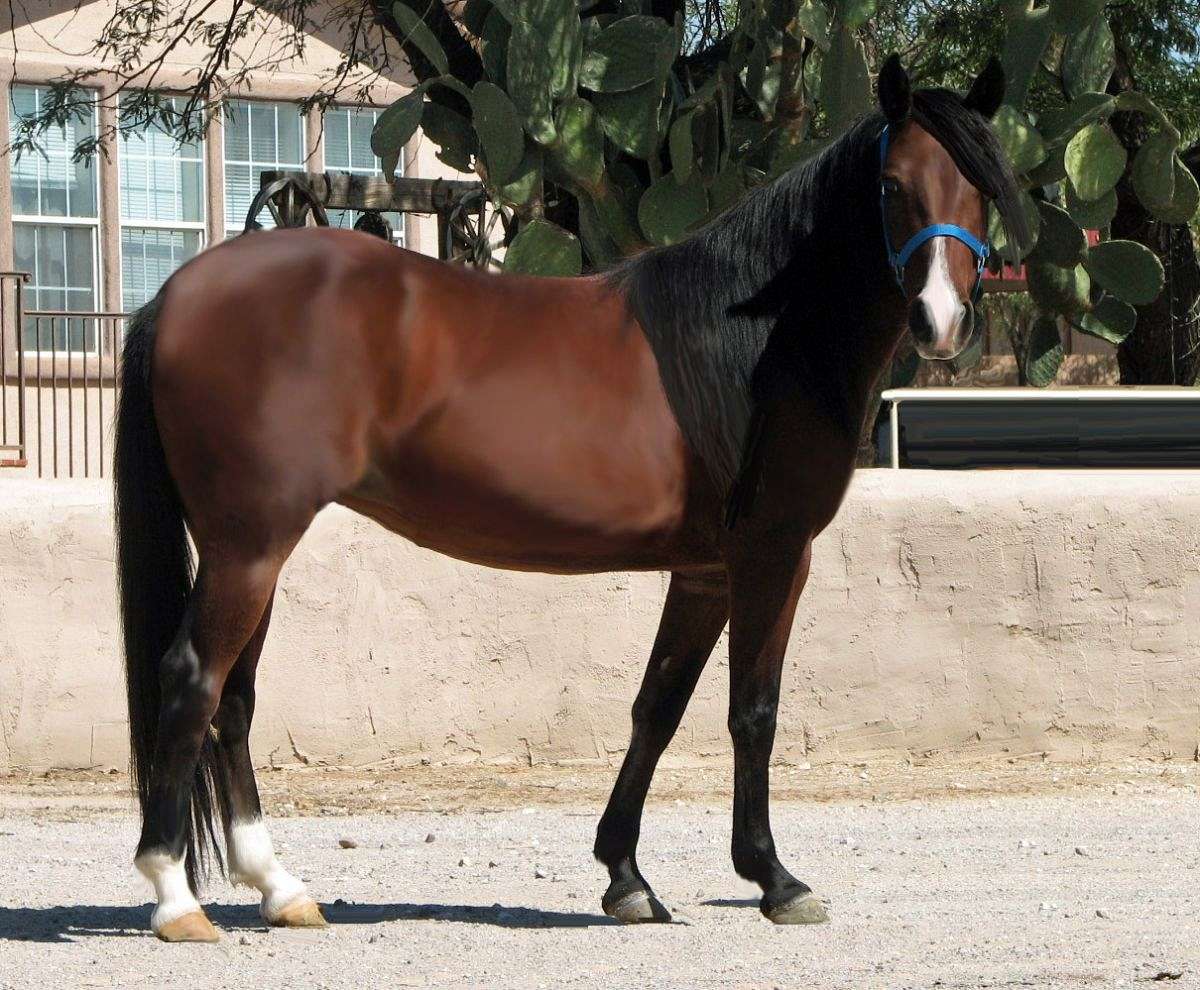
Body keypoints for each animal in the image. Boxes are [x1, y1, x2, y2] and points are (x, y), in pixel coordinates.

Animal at [113, 54, 1028, 942]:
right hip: (248, 546)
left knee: (234, 699)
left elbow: (658, 708)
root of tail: (176, 295)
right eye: (894, 186)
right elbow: (753, 712)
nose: (942, 322)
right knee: (195, 680)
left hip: (252, 549)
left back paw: (280, 888)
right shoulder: (773, 554)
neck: (754, 342)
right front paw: (775, 879)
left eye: (980, 185)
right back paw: (176, 898)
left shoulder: (706, 573)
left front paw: (626, 876)